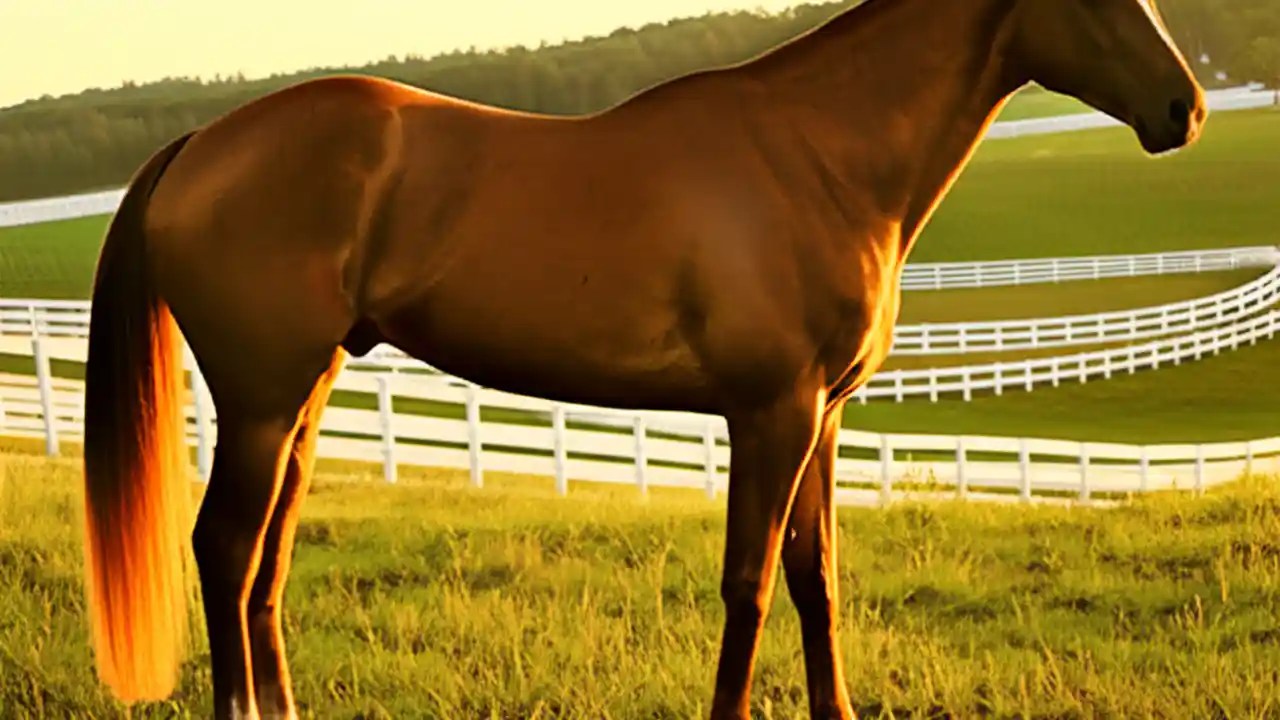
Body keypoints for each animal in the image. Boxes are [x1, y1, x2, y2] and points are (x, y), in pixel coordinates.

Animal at [79, 0, 1206, 717]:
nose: (1183, 110)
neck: (814, 155)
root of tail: (199, 144)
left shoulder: (824, 415)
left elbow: (816, 578)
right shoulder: (772, 412)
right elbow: (751, 582)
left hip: (301, 401)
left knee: (265, 563)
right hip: (263, 402)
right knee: (225, 550)